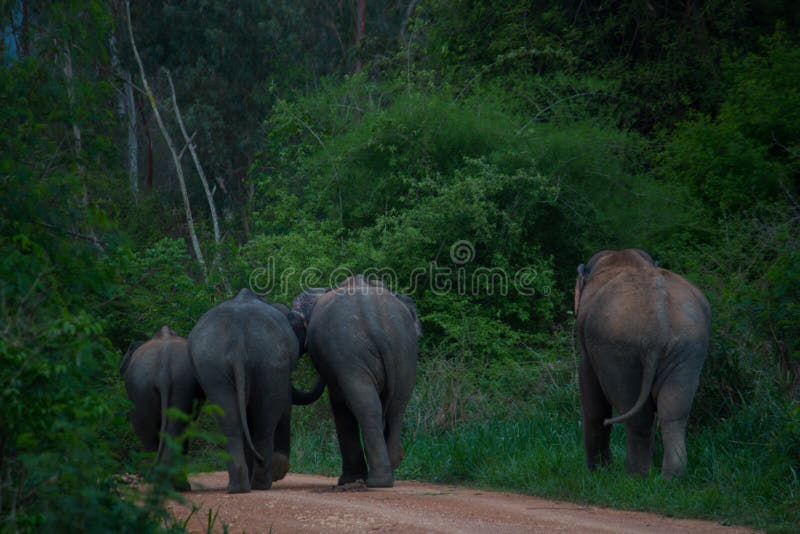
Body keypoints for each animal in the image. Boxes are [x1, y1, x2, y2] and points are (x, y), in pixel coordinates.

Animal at [187, 288, 324, 493]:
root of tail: (236, 344)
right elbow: (285, 406)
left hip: (217, 366)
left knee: (233, 422)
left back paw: (240, 487)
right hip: (267, 363)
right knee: (264, 423)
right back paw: (261, 483)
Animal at [293, 275, 422, 488]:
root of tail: (374, 322)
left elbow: (339, 404)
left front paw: (347, 480)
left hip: (354, 353)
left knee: (366, 405)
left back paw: (375, 481)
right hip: (404, 352)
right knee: (396, 406)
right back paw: (390, 467)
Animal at [574, 248, 711, 479]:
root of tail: (658, 325)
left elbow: (592, 398)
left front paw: (597, 472)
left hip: (620, 350)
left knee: (637, 414)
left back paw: (635, 475)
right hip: (688, 346)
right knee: (673, 412)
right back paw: (671, 477)